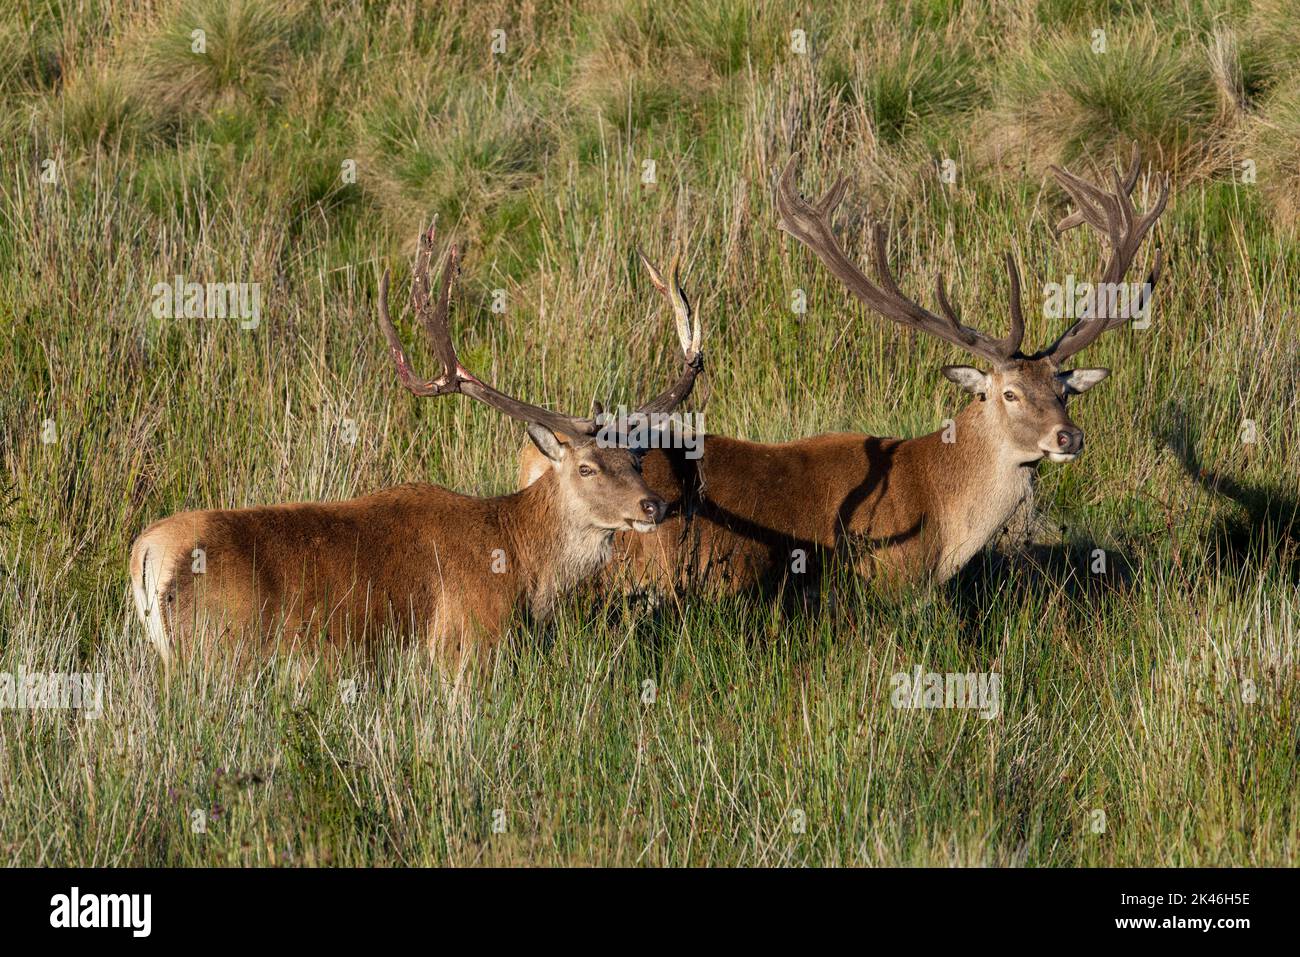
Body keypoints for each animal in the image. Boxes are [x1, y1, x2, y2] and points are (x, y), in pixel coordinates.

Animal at [129, 226, 703, 667]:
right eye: (585, 467)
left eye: (636, 458)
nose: (653, 506)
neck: (520, 564)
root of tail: (146, 554)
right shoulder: (464, 643)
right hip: (216, 650)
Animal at [520, 147, 1168, 597]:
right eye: (1007, 393)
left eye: (1063, 389)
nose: (1069, 437)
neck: (940, 515)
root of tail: (536, 461)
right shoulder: (884, 583)